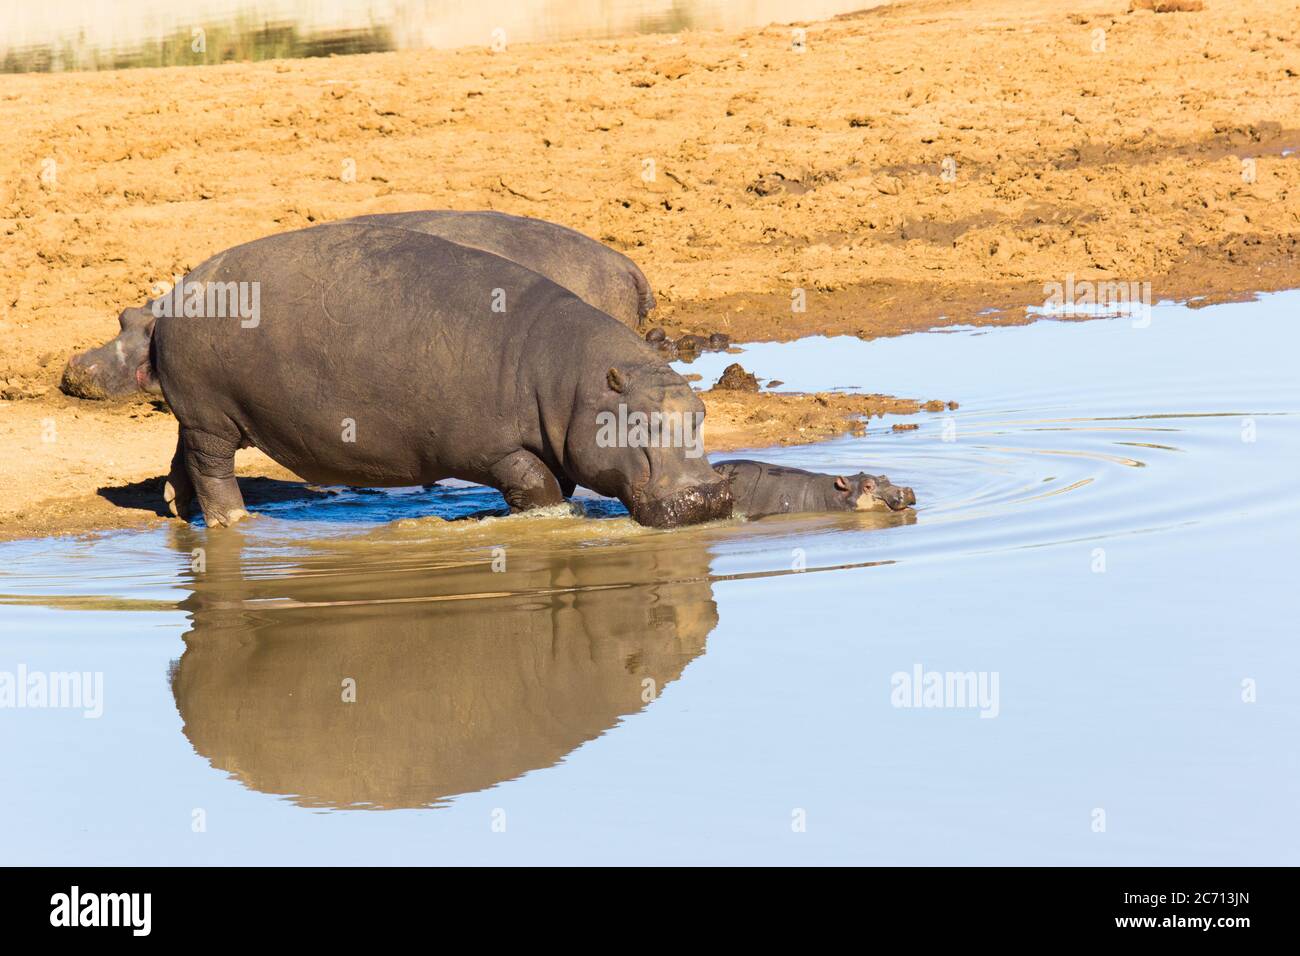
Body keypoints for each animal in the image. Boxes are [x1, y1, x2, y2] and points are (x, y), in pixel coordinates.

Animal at [153, 222, 731, 529]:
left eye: (701, 414)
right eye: (636, 423)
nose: (705, 497)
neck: (575, 384)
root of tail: (177, 293)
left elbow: (560, 479)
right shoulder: (495, 451)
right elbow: (537, 485)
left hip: (199, 415)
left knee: (184, 457)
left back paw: (178, 509)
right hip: (211, 417)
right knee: (213, 468)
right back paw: (234, 522)